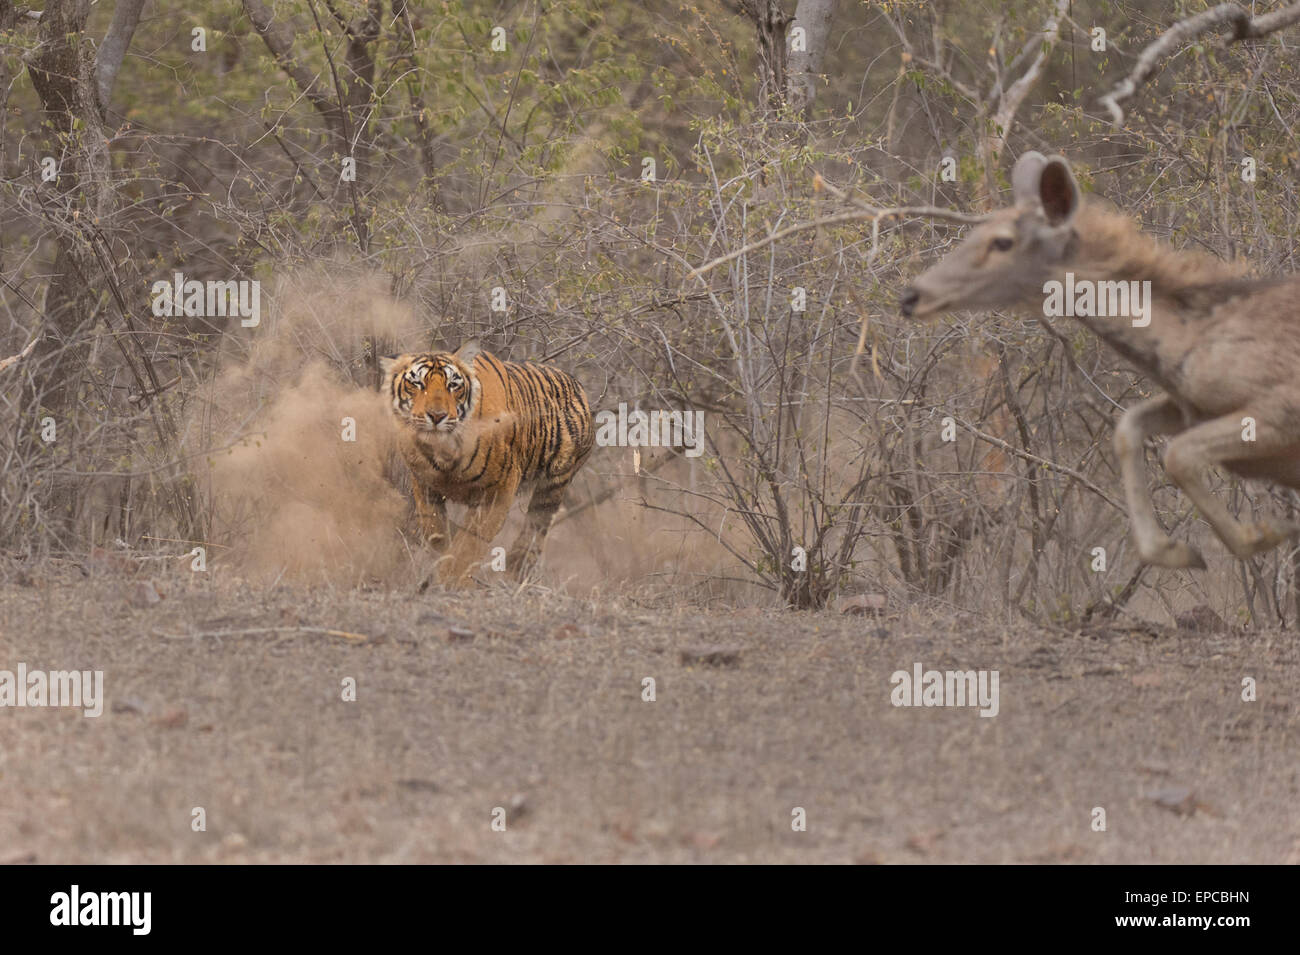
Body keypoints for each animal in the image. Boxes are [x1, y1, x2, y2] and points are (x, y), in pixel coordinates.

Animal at [379, 341, 594, 587]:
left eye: (453, 385)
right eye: (416, 383)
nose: (436, 416)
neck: (443, 451)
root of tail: (576, 383)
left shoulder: (498, 491)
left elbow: (469, 543)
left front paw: (452, 580)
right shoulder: (424, 485)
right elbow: (436, 531)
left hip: (553, 486)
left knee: (534, 531)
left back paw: (515, 573)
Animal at [900, 151, 1300, 570]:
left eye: (1003, 241)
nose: (910, 297)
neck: (1192, 340)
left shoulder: (1285, 407)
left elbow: (1177, 453)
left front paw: (1264, 533)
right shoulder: (1190, 409)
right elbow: (1128, 428)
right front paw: (1175, 550)